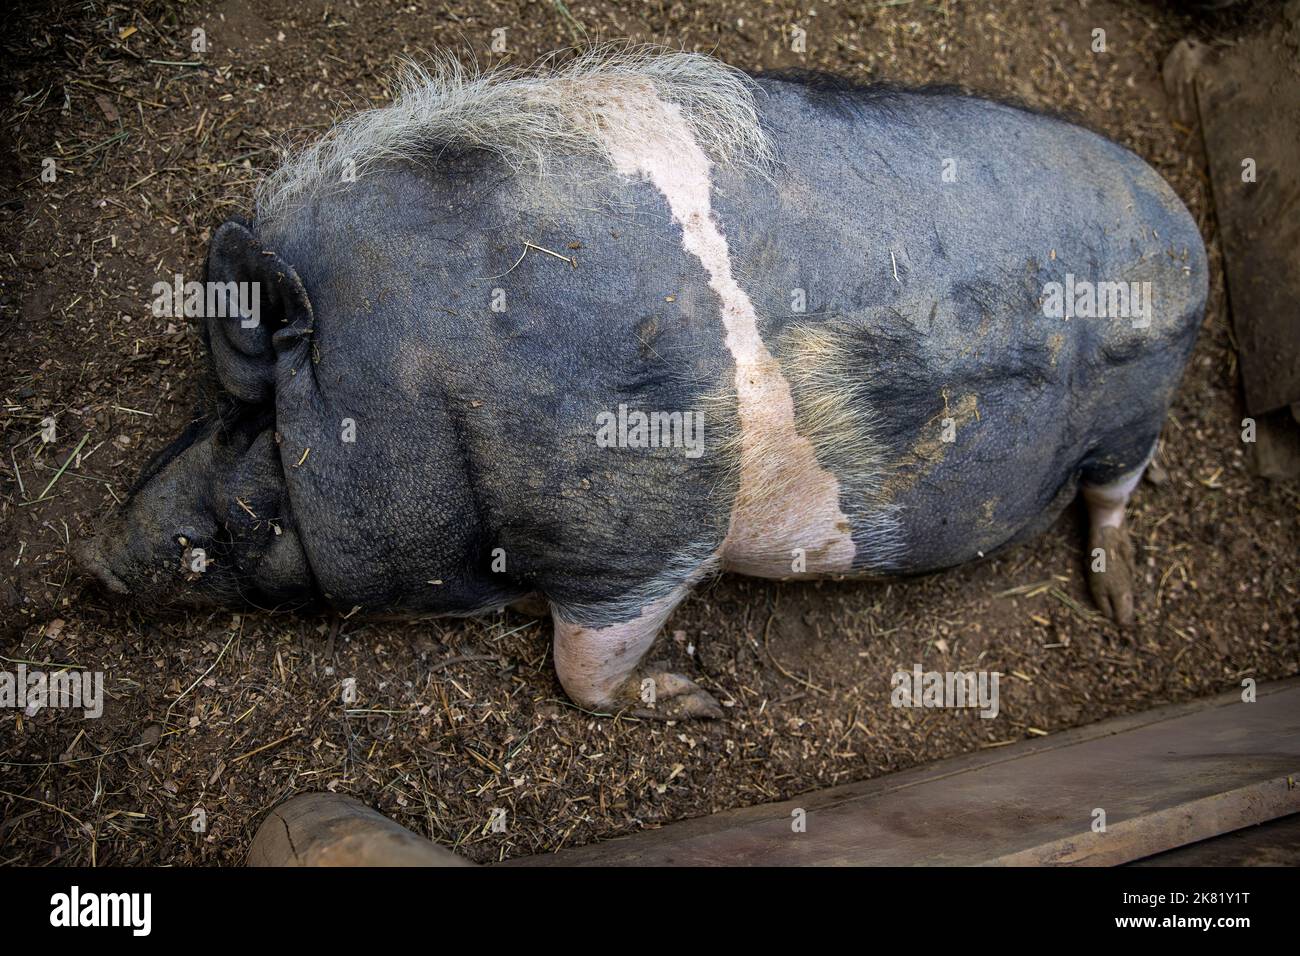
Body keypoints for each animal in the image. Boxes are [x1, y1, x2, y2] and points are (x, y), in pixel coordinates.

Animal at [77, 48, 1207, 719]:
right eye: (210, 406)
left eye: (253, 430)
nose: (89, 556)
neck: (439, 398)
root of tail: (1190, 235)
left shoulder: (642, 532)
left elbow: (582, 668)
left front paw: (698, 699)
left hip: (1134, 408)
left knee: (1111, 491)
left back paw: (1127, 608)